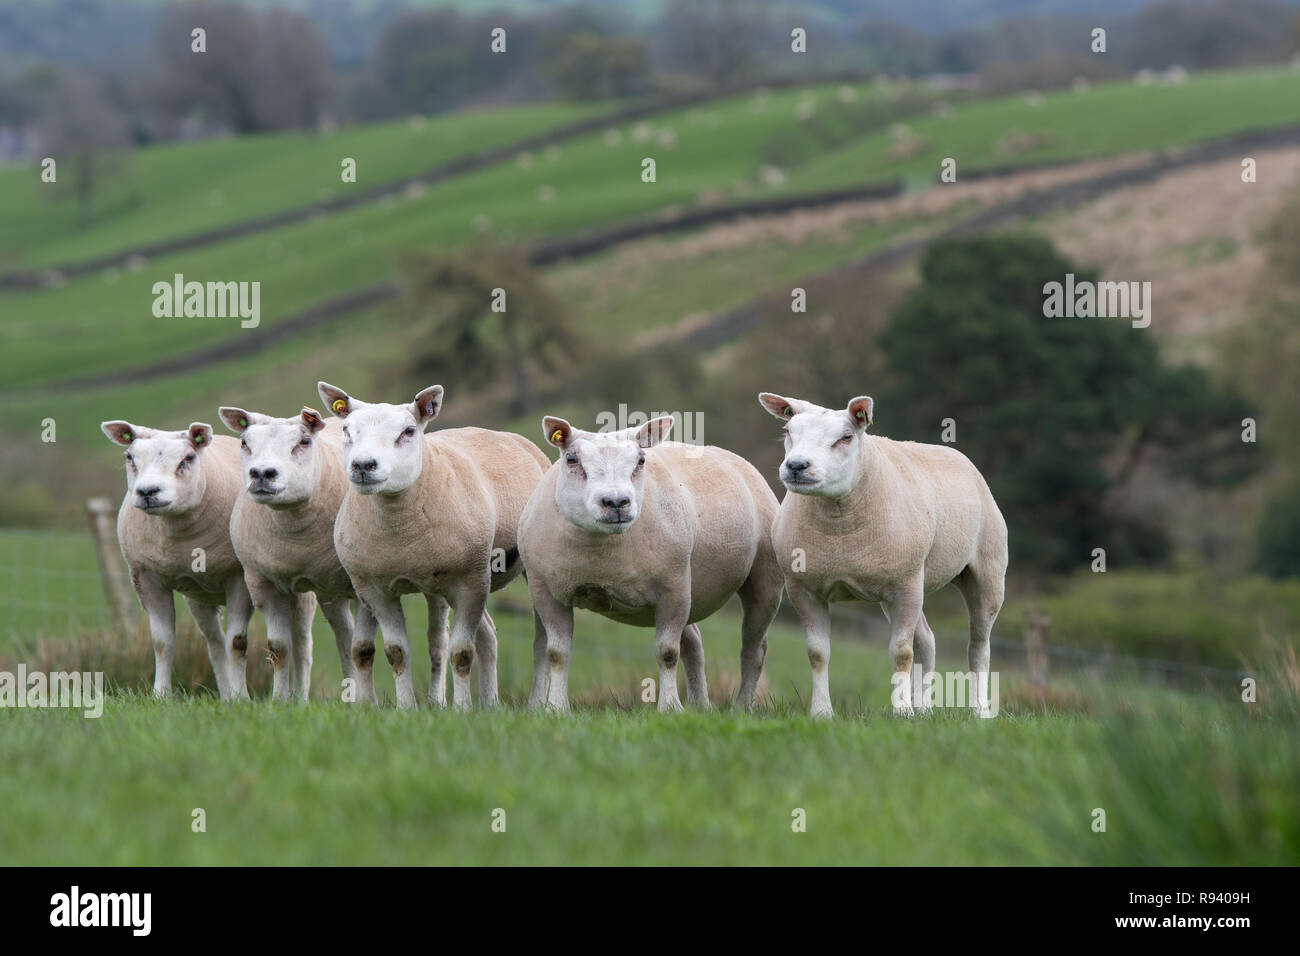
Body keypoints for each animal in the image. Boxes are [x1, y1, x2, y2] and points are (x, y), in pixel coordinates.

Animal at [100, 420, 253, 699]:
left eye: (188, 458)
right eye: (130, 457)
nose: (147, 491)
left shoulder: (239, 577)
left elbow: (237, 642)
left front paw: (242, 699)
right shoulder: (147, 577)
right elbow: (162, 642)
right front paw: (160, 695)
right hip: (199, 595)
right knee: (214, 642)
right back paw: (226, 696)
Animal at [218, 405, 379, 703]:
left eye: (303, 442)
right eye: (244, 443)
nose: (262, 473)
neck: (297, 539)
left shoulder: (364, 585)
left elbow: (363, 648)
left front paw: (368, 703)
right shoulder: (264, 584)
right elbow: (279, 647)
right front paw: (279, 700)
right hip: (321, 591)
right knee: (321, 639)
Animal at [318, 381, 550, 710]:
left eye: (408, 431)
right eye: (346, 430)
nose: (363, 465)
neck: (401, 532)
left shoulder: (469, 583)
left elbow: (461, 653)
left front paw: (462, 709)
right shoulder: (375, 591)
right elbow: (397, 652)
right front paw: (406, 708)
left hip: (525, 571)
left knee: (541, 640)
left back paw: (537, 705)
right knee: (489, 636)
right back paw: (490, 704)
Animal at [516, 415, 784, 713]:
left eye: (641, 460)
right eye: (572, 459)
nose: (616, 502)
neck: (601, 552)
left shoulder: (673, 588)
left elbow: (667, 652)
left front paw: (670, 708)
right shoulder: (545, 591)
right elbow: (557, 653)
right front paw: (556, 709)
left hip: (764, 580)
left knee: (753, 649)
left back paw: (741, 707)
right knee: (694, 642)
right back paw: (701, 705)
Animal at [757, 392, 1008, 718]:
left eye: (846, 437)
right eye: (788, 431)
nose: (797, 465)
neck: (841, 532)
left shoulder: (905, 585)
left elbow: (901, 652)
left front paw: (901, 712)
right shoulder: (803, 588)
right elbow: (817, 653)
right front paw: (822, 713)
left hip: (985, 572)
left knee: (979, 647)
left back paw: (979, 711)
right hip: (908, 585)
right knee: (928, 640)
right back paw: (924, 709)